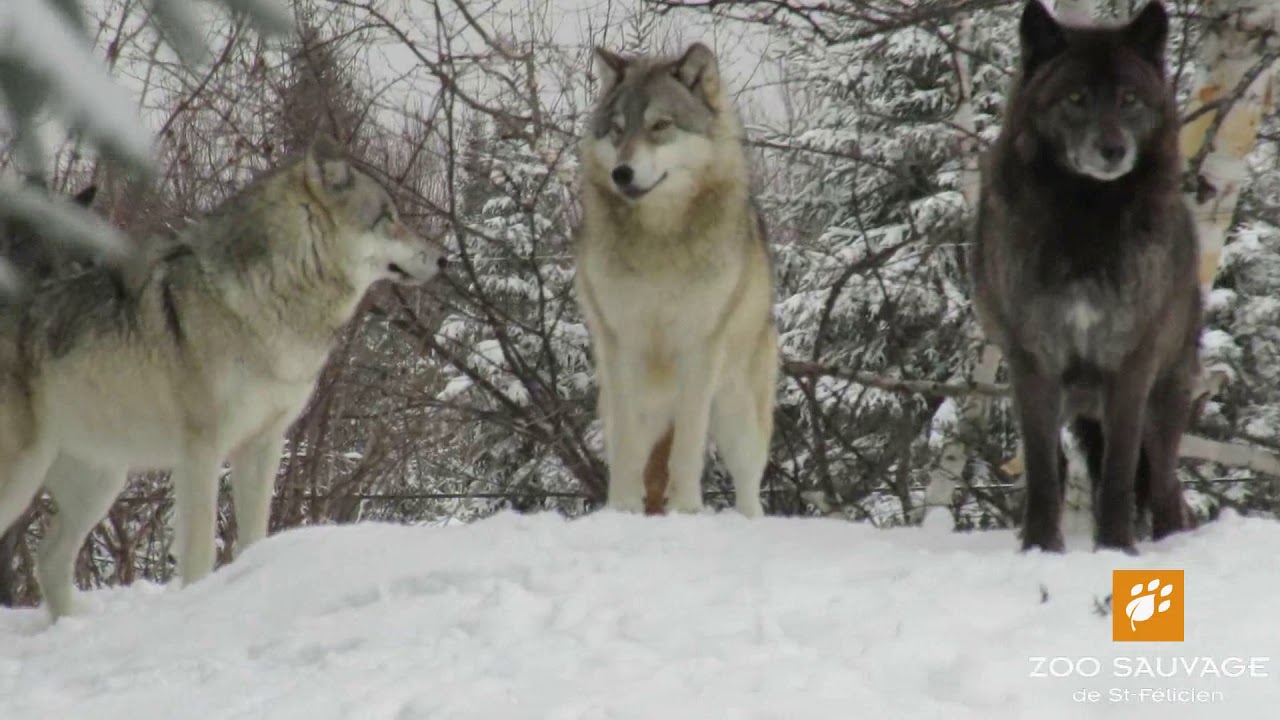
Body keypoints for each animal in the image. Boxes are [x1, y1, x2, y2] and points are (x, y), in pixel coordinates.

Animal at [0, 137, 446, 618]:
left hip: (100, 483)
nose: (445, 258)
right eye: (388, 218)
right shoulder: (201, 451)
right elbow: (200, 552)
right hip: (27, 479)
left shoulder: (264, 444)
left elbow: (253, 538)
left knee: (48, 561)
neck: (275, 296)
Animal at [574, 42, 778, 517]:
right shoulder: (621, 345)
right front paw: (622, 508)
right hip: (626, 403)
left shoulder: (700, 348)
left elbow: (688, 446)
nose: (622, 173)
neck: (660, 239)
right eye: (617, 130)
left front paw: (686, 510)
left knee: (748, 484)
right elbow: (627, 450)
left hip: (738, 414)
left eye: (660, 125)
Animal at [971, 0, 1201, 553]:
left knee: (1165, 485)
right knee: (1060, 465)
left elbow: (1118, 471)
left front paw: (1116, 548)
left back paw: (1168, 542)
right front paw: (1040, 548)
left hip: (1165, 399)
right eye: (1076, 98)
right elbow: (1040, 469)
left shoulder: (1131, 364)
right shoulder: (1034, 362)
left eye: (1130, 99)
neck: (1087, 217)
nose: (1113, 150)